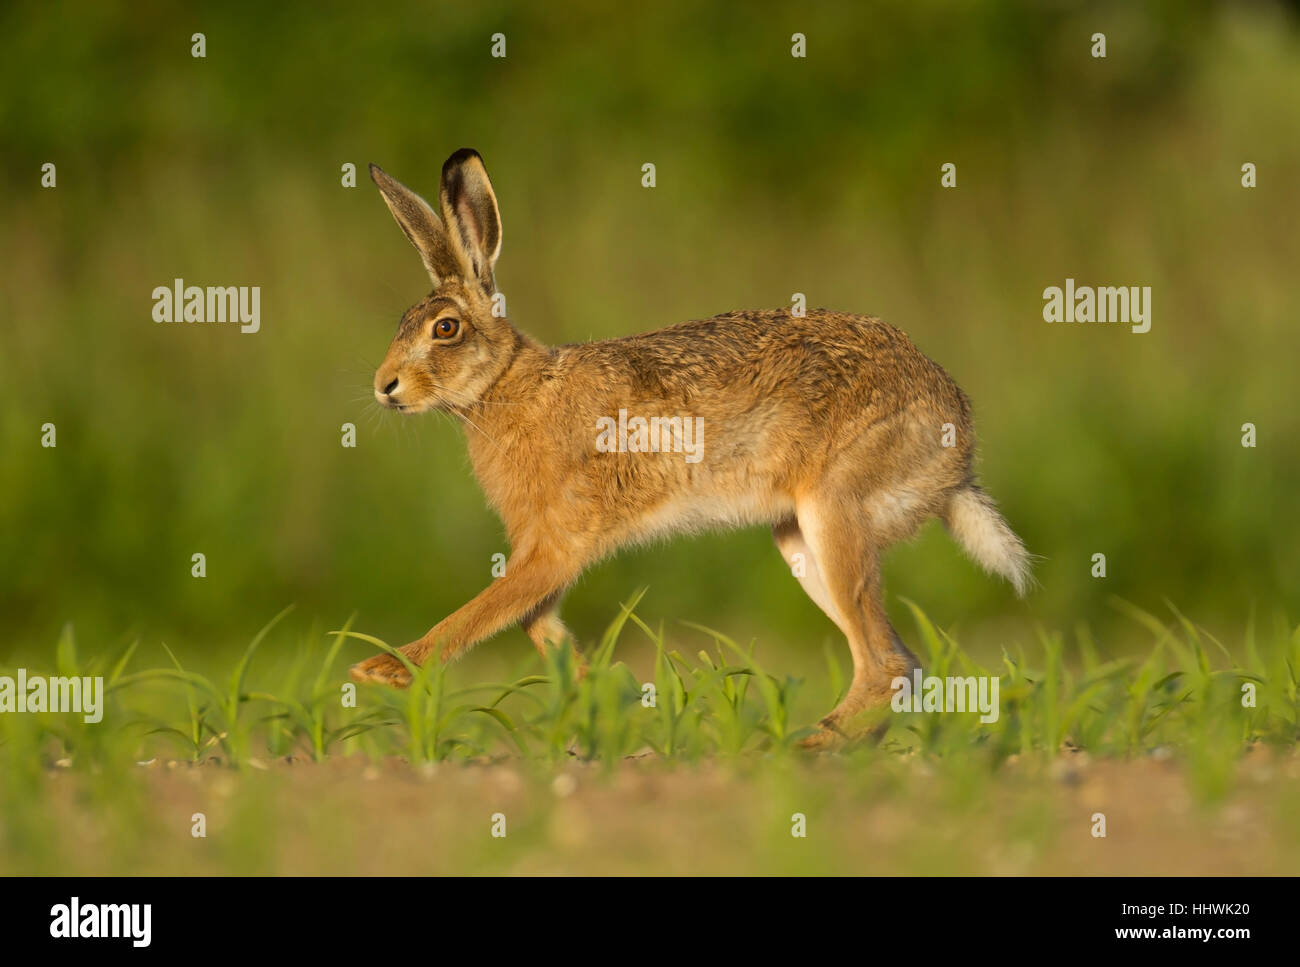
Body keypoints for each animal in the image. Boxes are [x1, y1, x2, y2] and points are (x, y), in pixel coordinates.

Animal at [350, 147, 1032, 748]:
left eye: (445, 329)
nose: (385, 386)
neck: (508, 387)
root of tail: (957, 450)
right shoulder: (544, 555)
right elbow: (534, 622)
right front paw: (610, 699)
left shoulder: (556, 544)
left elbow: (483, 611)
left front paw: (382, 671)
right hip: (799, 539)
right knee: (899, 662)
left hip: (838, 510)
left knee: (885, 663)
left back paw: (805, 748)